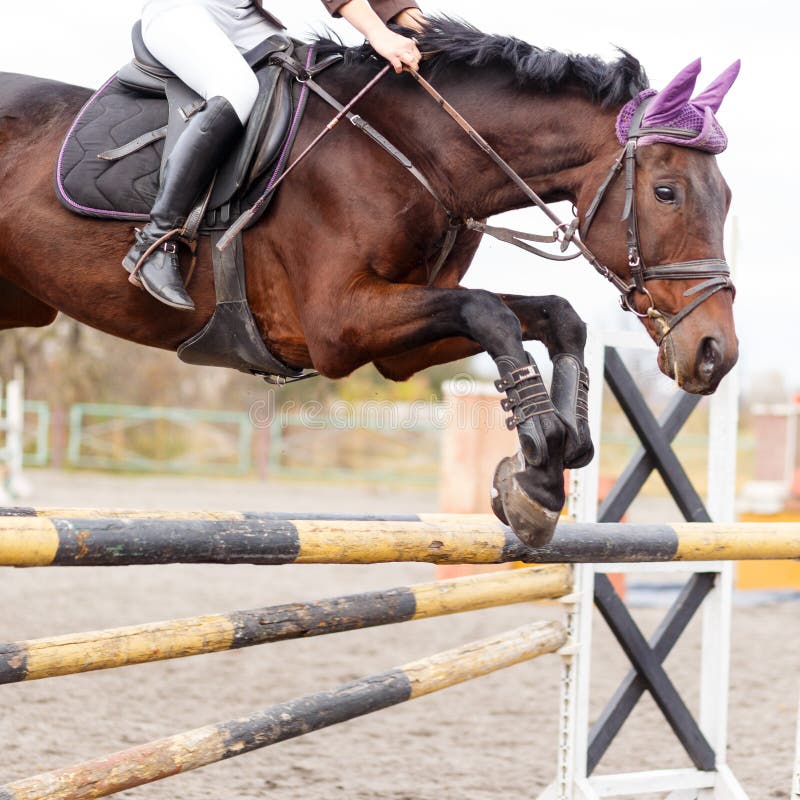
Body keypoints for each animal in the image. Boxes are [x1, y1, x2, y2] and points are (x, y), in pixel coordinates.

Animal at [0, 19, 739, 546]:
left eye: (726, 197)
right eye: (667, 192)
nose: (715, 353)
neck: (419, 153)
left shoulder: (400, 346)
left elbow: (555, 314)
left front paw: (555, 457)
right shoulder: (338, 324)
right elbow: (490, 313)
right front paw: (540, 460)